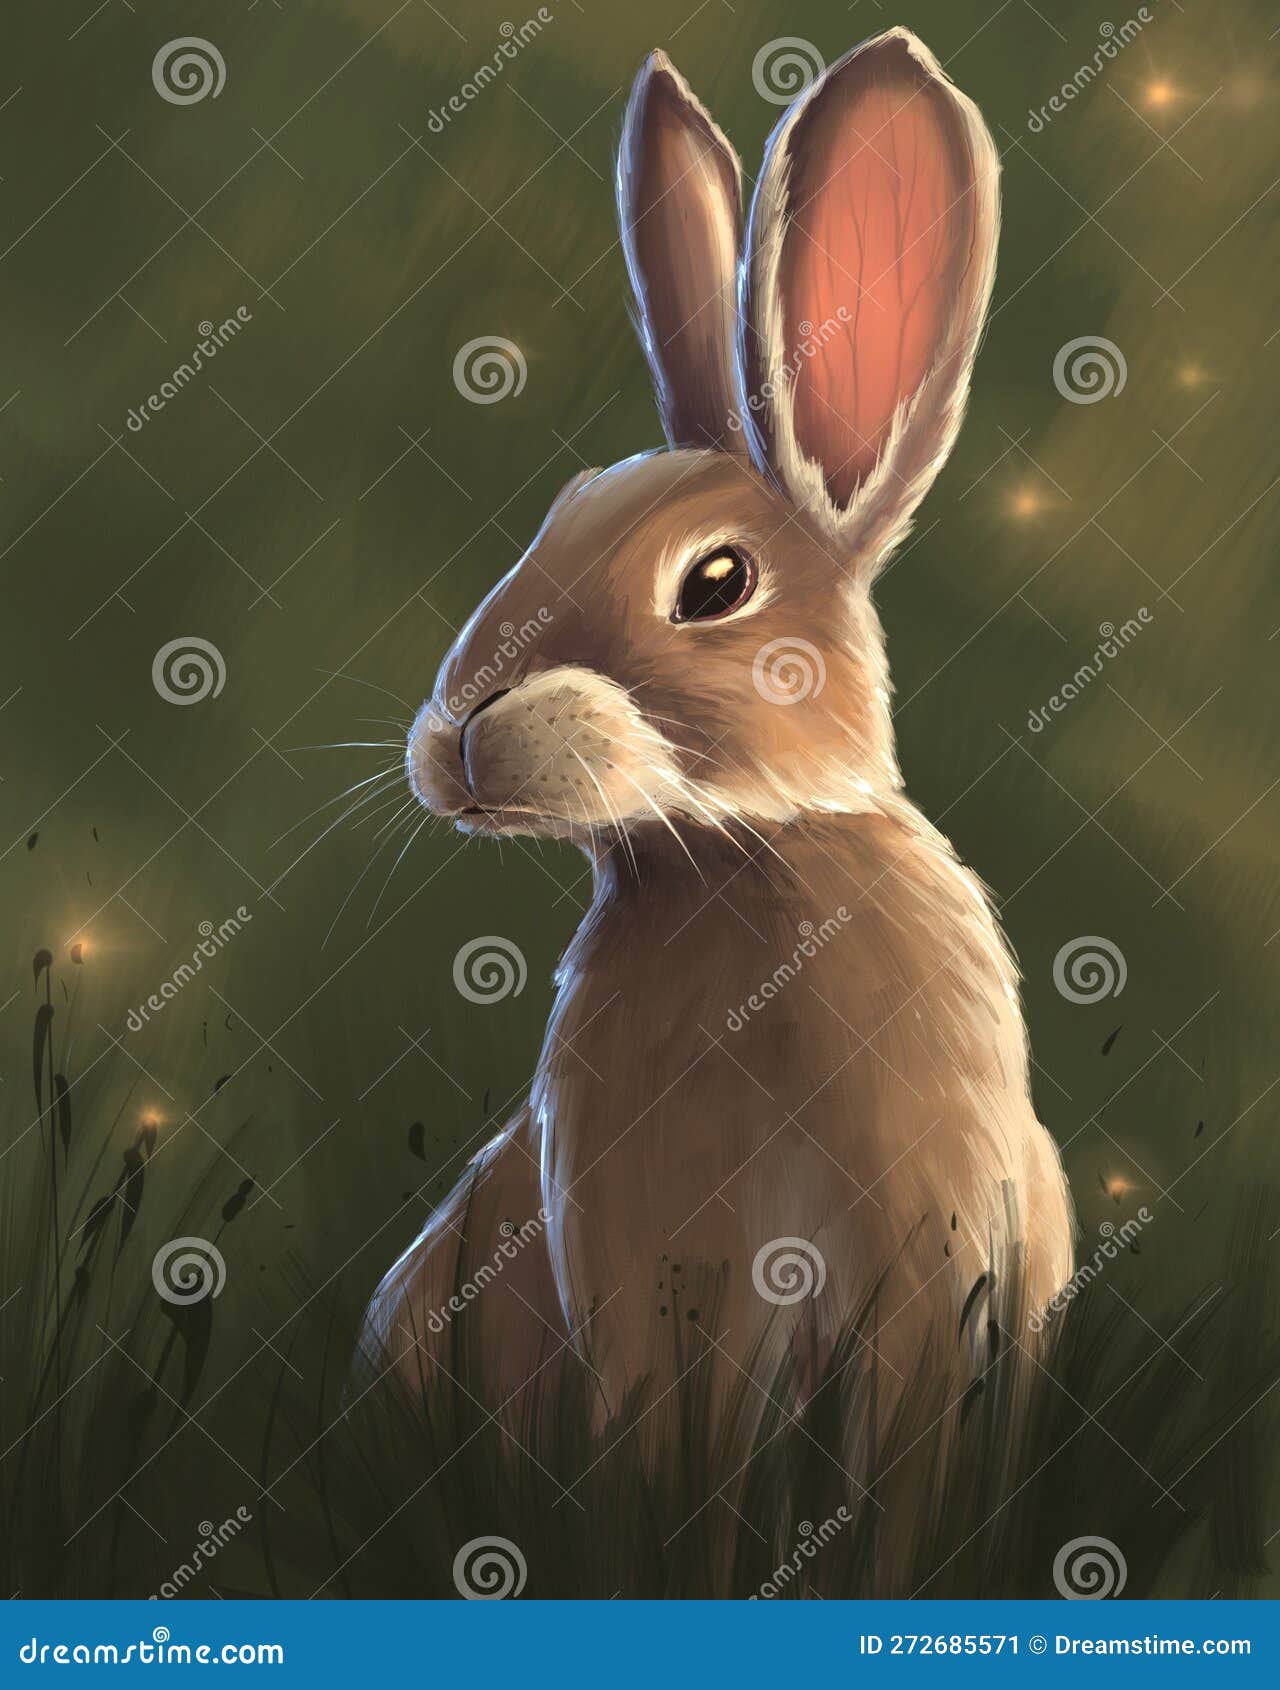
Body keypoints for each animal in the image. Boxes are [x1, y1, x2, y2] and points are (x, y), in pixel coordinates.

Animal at [363, 26, 1074, 1511]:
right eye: (558, 515)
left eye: (716, 583)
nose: (459, 739)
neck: (743, 845)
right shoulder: (646, 1290)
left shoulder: (925, 1291)